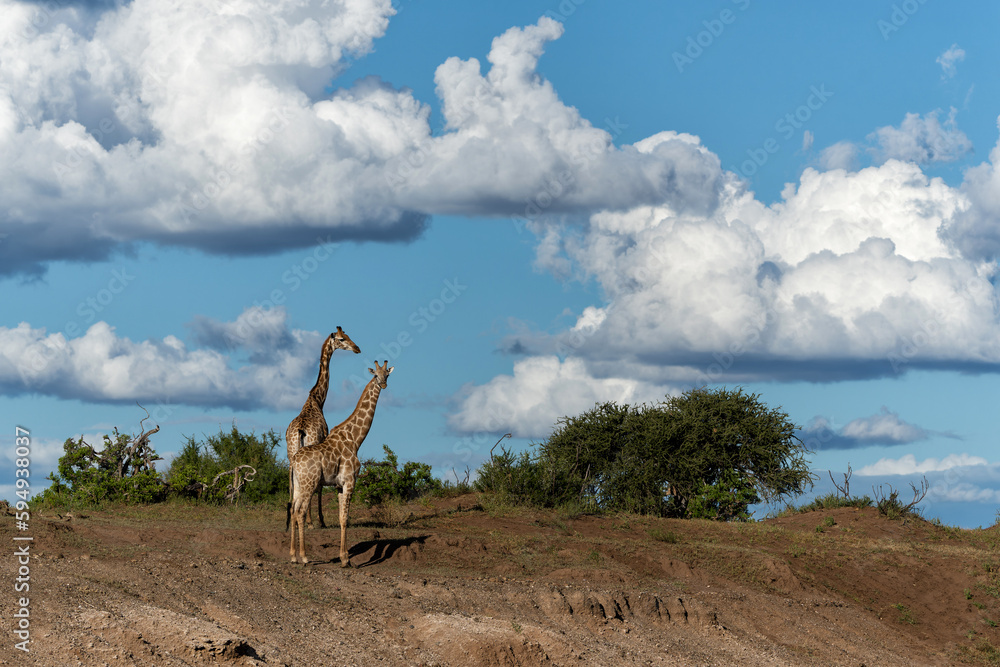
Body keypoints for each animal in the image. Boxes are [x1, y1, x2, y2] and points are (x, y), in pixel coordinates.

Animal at [285, 326, 361, 529]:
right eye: (342, 339)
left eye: (348, 336)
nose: (357, 348)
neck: (317, 399)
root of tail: (301, 431)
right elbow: (320, 486)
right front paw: (320, 520)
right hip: (309, 445)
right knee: (311, 486)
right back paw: (309, 521)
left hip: (291, 452)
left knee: (292, 482)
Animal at [287, 360, 394, 566]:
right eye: (376, 375)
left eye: (387, 374)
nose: (384, 385)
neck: (355, 439)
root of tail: (294, 461)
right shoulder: (350, 481)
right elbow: (345, 518)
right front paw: (346, 559)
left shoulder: (338, 485)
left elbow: (340, 517)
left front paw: (343, 556)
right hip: (309, 484)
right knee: (301, 512)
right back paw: (304, 556)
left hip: (298, 485)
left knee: (294, 510)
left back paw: (293, 555)